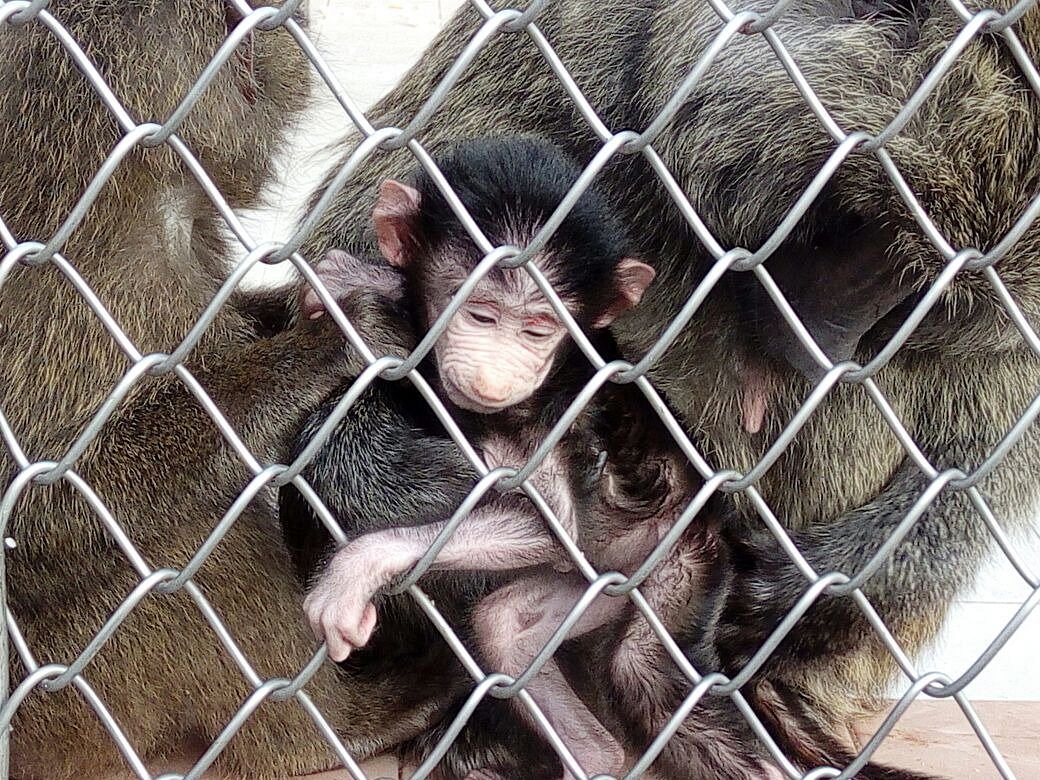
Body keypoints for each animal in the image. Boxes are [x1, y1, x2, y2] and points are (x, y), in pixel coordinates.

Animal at [0, 2, 466, 777]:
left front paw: (315, 302)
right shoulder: (86, 294)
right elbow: (40, 504)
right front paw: (325, 347)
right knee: (177, 543)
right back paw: (329, 728)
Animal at [298, 0, 1040, 774]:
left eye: (929, 286)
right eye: (856, 225)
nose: (826, 350)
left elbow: (990, 433)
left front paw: (813, 585)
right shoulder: (564, 58)